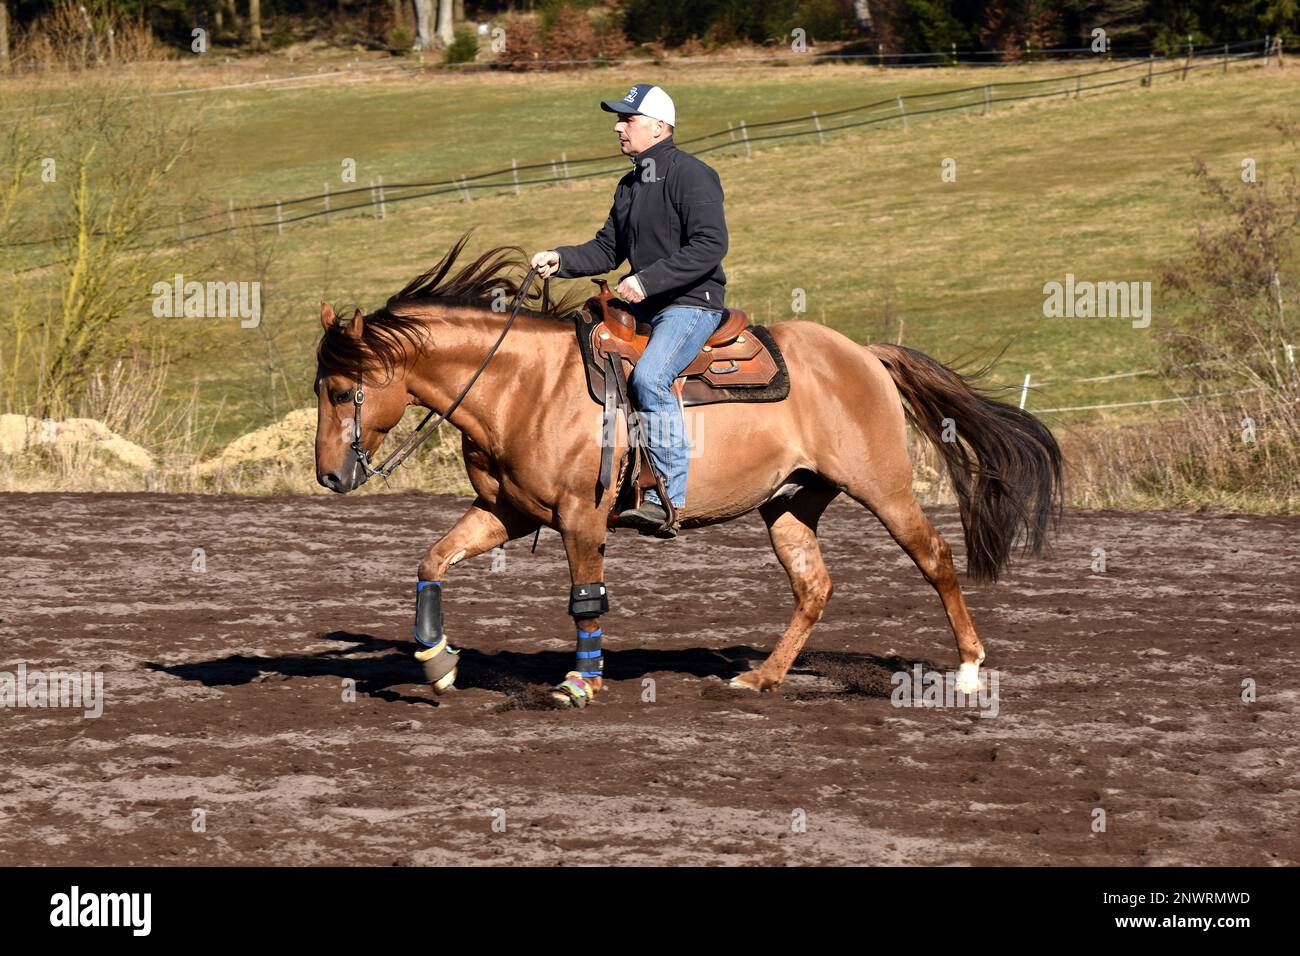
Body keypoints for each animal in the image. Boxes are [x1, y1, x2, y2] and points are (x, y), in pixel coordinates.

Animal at [313, 235, 1064, 707]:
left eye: (341, 390)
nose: (329, 478)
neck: (524, 385)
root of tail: (864, 353)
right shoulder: (509, 512)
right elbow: (432, 561)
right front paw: (438, 665)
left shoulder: (580, 517)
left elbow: (586, 599)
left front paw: (579, 685)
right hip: (790, 502)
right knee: (813, 586)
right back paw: (760, 680)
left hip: (883, 487)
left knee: (935, 557)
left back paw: (968, 671)